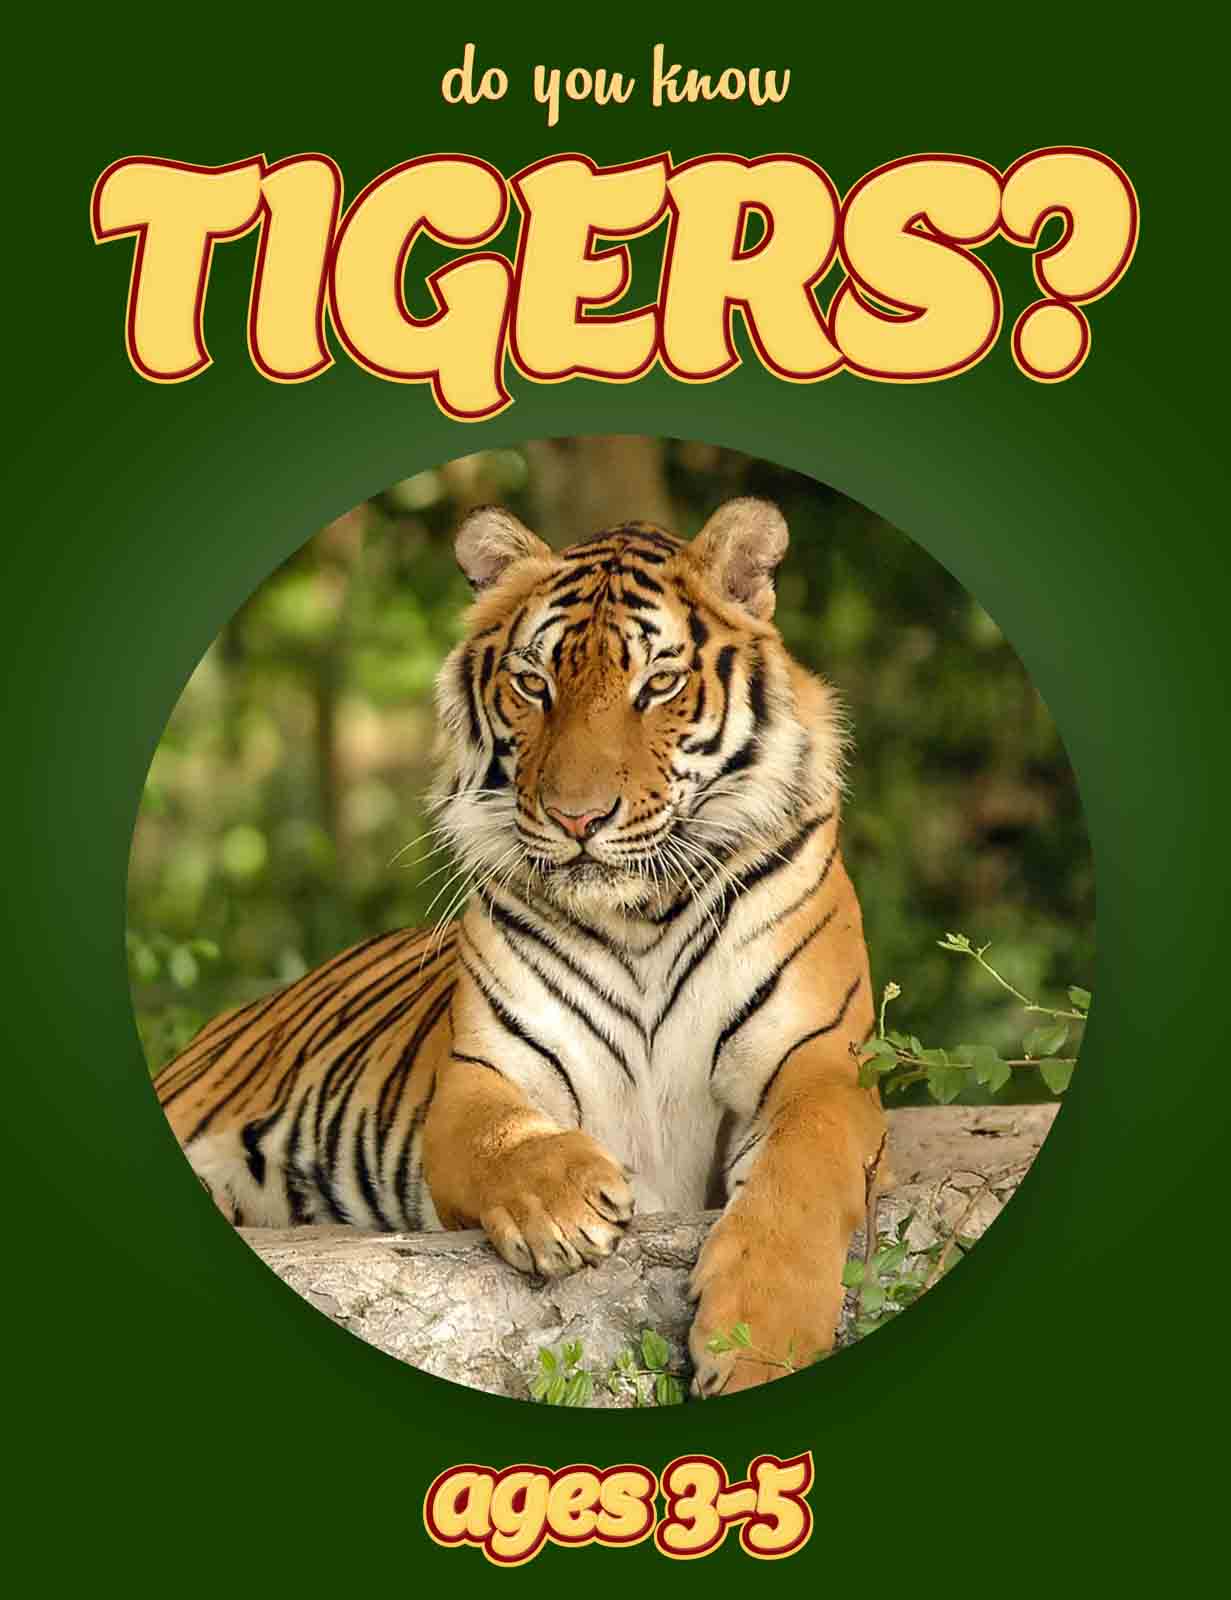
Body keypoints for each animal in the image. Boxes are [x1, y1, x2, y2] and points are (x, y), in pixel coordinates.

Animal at [155, 496, 887, 1396]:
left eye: (659, 683)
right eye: (533, 684)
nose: (578, 818)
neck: (640, 918)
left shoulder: (822, 1067)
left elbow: (799, 1180)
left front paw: (759, 1345)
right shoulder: (485, 1073)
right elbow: (500, 1139)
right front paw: (565, 1206)